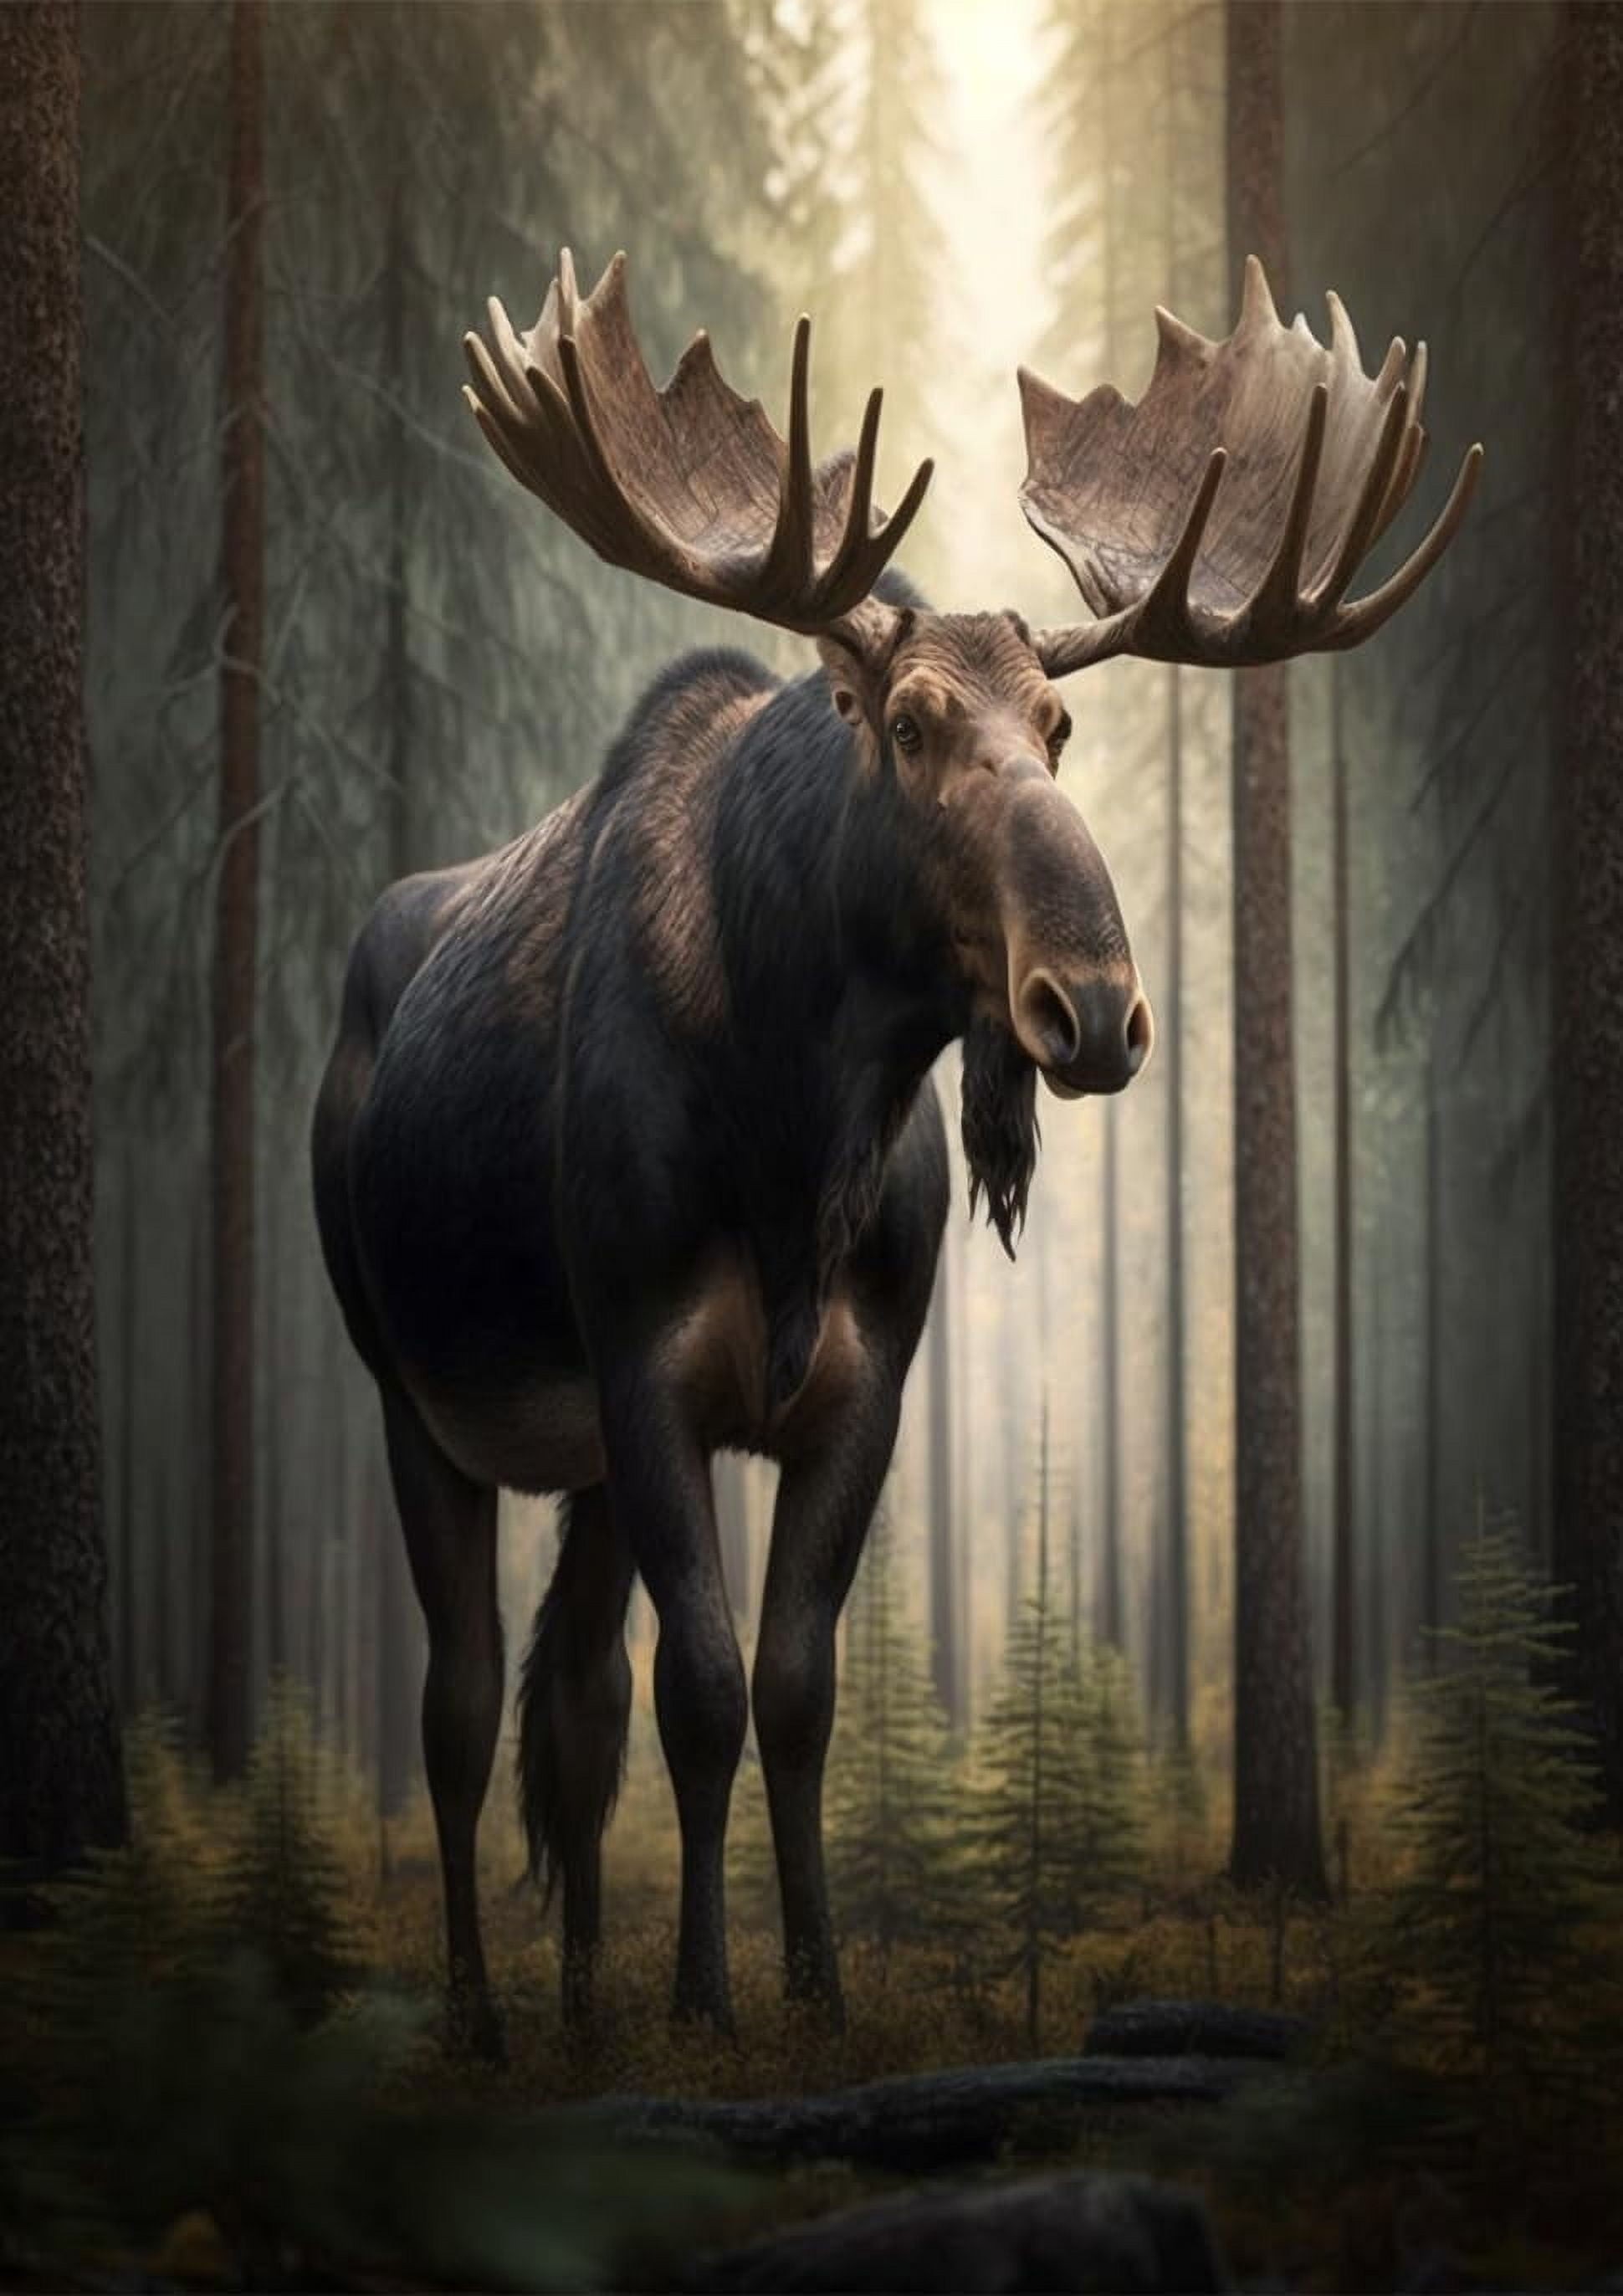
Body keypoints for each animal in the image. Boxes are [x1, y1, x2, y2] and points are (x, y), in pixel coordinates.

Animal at [311, 246, 1480, 2058]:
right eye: (912, 722)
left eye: (1062, 728)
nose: (1095, 1007)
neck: (805, 1138)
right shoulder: (642, 1361)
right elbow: (702, 1688)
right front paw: (707, 2001)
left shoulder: (870, 1376)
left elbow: (795, 1688)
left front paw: (814, 1985)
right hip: (407, 1385)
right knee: (458, 1694)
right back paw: (486, 2015)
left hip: (567, 1454)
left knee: (565, 1697)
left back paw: (574, 2009)